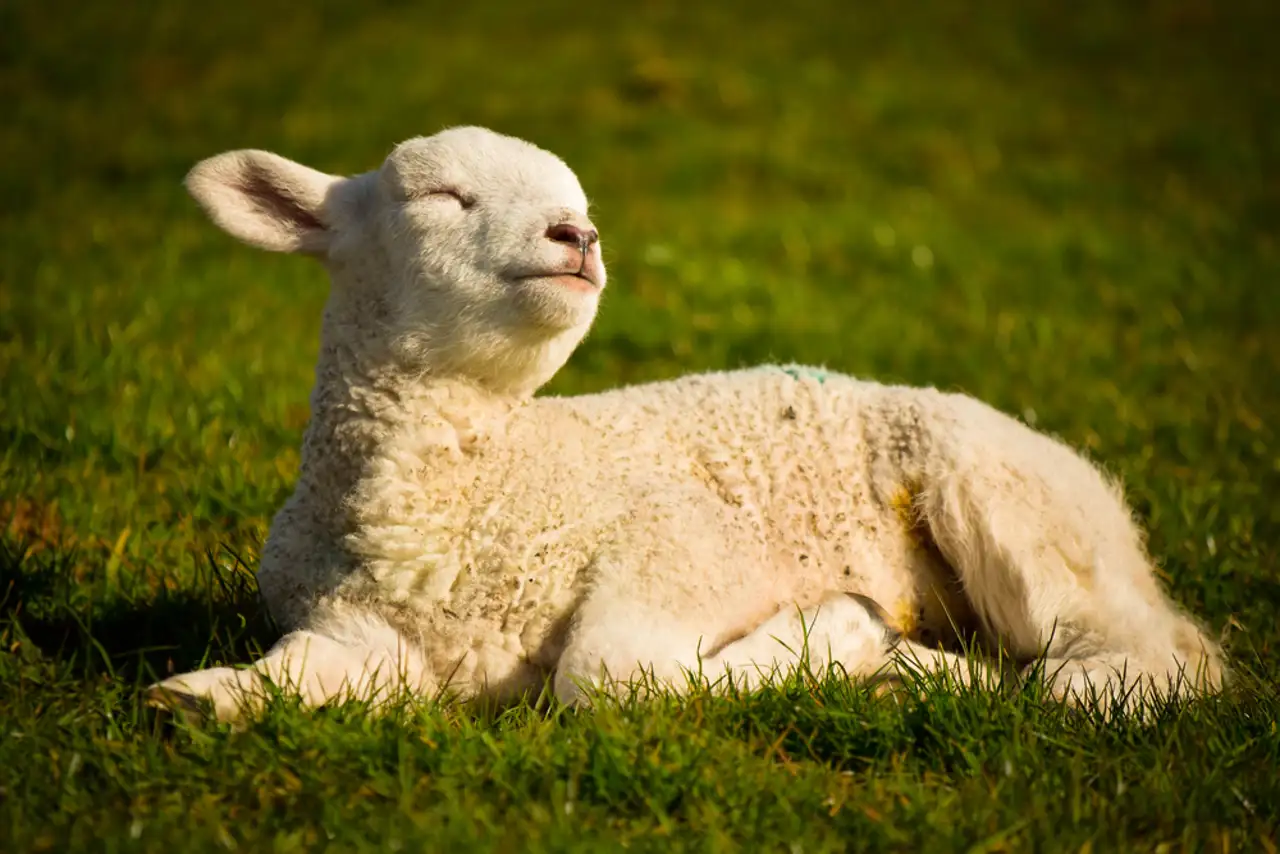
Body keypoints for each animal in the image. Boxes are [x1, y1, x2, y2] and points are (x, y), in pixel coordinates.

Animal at [147, 126, 1225, 722]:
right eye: (443, 196)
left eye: (577, 203)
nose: (575, 236)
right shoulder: (355, 630)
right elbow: (274, 683)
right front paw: (200, 696)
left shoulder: (685, 540)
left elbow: (603, 674)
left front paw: (837, 627)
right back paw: (917, 674)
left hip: (1007, 499)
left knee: (1152, 654)